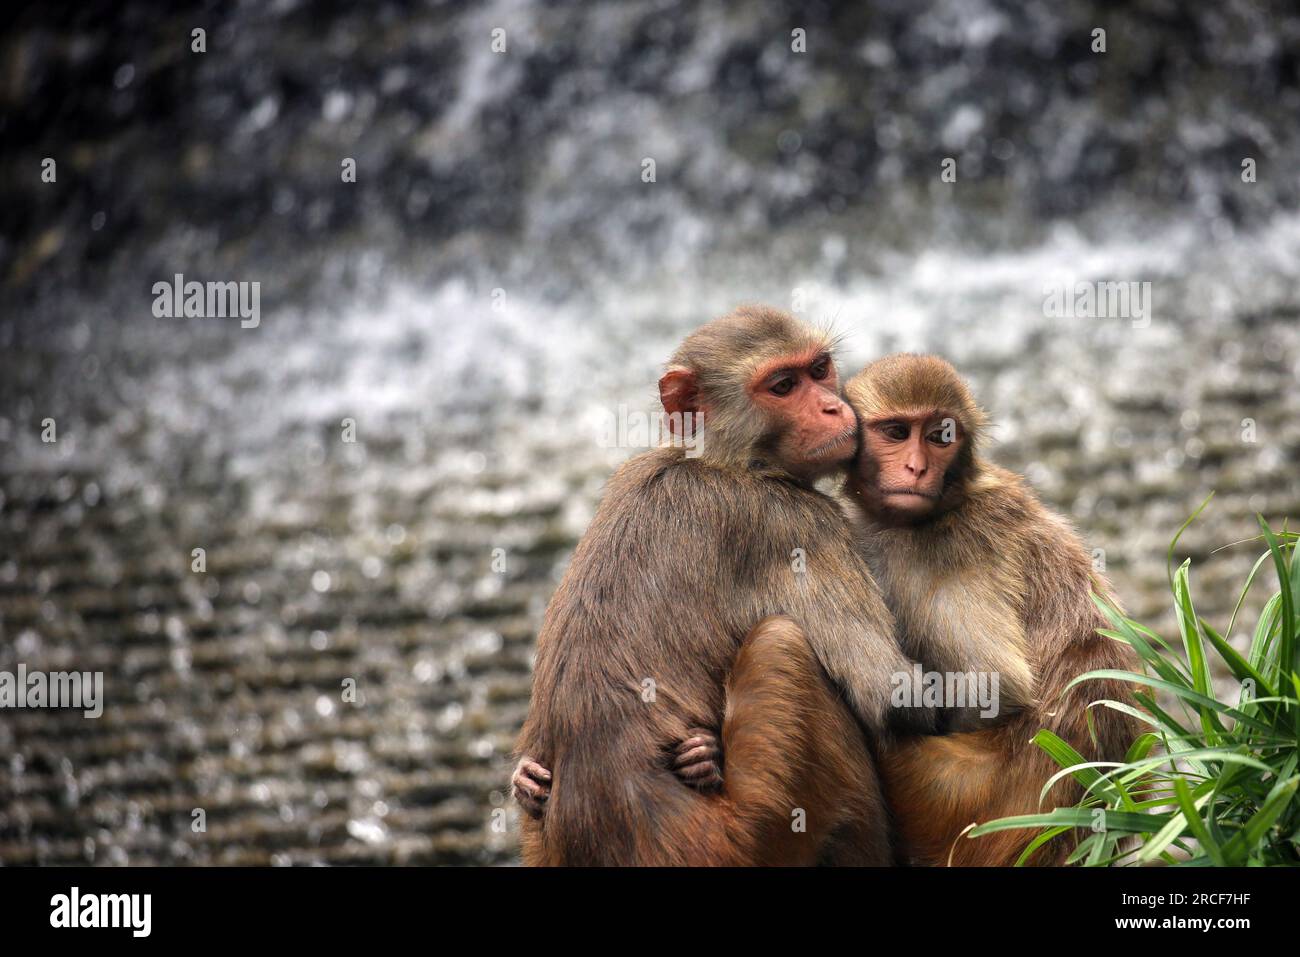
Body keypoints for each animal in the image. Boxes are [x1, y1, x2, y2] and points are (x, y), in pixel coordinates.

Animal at [511, 306, 935, 866]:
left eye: (819, 369)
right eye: (783, 386)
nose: (832, 407)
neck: (721, 460)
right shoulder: (798, 524)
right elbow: (897, 700)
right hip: (755, 831)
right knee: (783, 645)